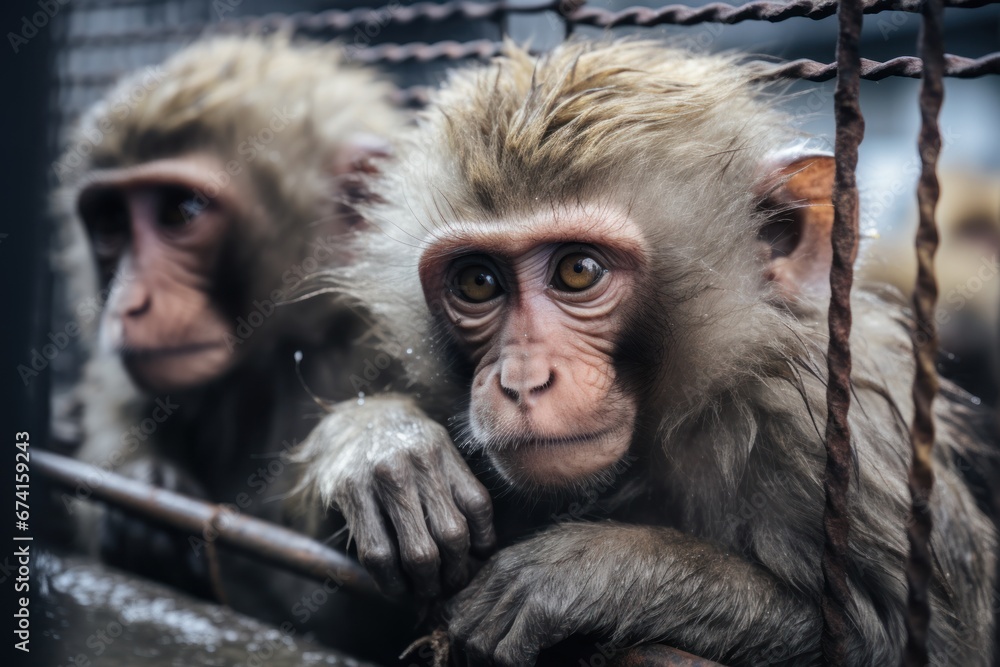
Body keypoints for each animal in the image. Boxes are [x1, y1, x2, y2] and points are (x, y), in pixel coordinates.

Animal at [53, 34, 494, 662]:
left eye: (180, 212)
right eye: (110, 220)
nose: (126, 305)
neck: (282, 354)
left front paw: (375, 440)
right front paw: (144, 495)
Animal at [310, 40, 998, 665]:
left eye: (579, 271)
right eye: (477, 282)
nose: (522, 380)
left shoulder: (829, 433)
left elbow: (890, 643)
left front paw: (592, 570)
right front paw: (385, 452)